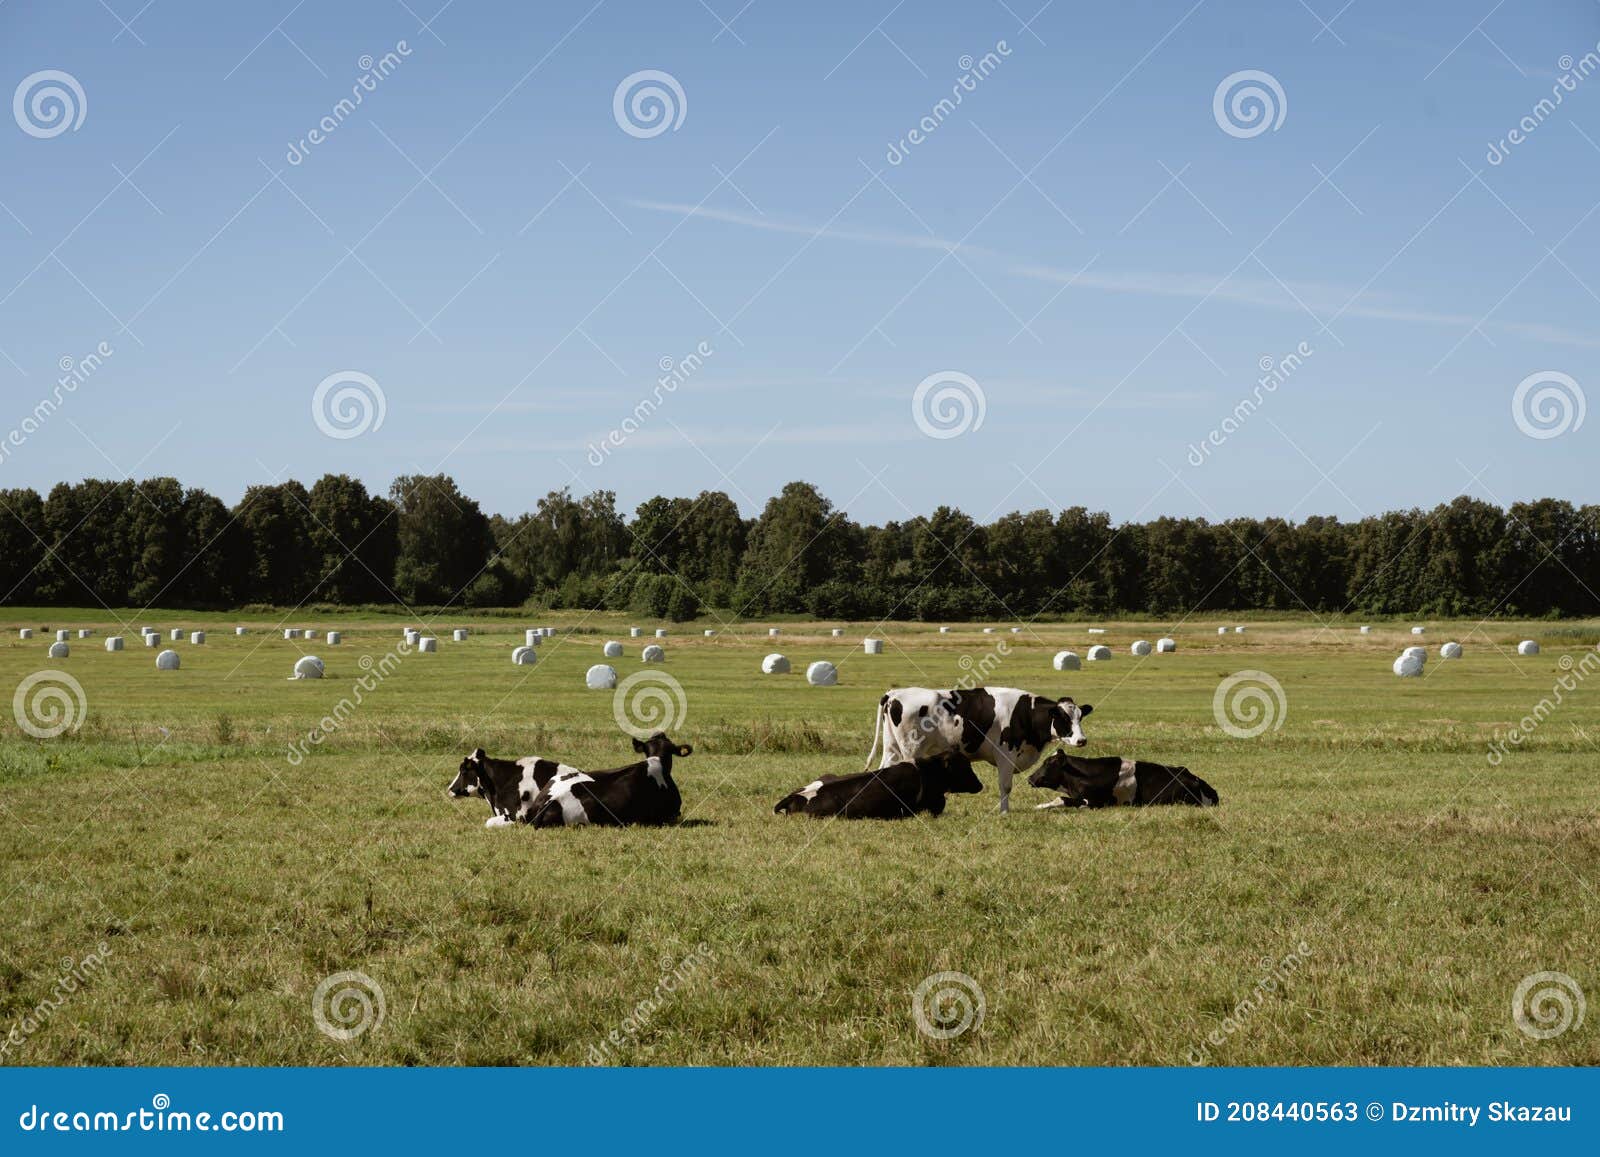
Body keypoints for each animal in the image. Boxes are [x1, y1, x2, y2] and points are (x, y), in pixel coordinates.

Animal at [864, 686, 1092, 814]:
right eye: (1064, 718)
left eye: (1080, 717)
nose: (1082, 740)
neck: (1025, 713)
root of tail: (894, 693)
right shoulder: (1005, 755)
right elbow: (1005, 786)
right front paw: (1004, 813)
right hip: (910, 749)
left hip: (891, 747)